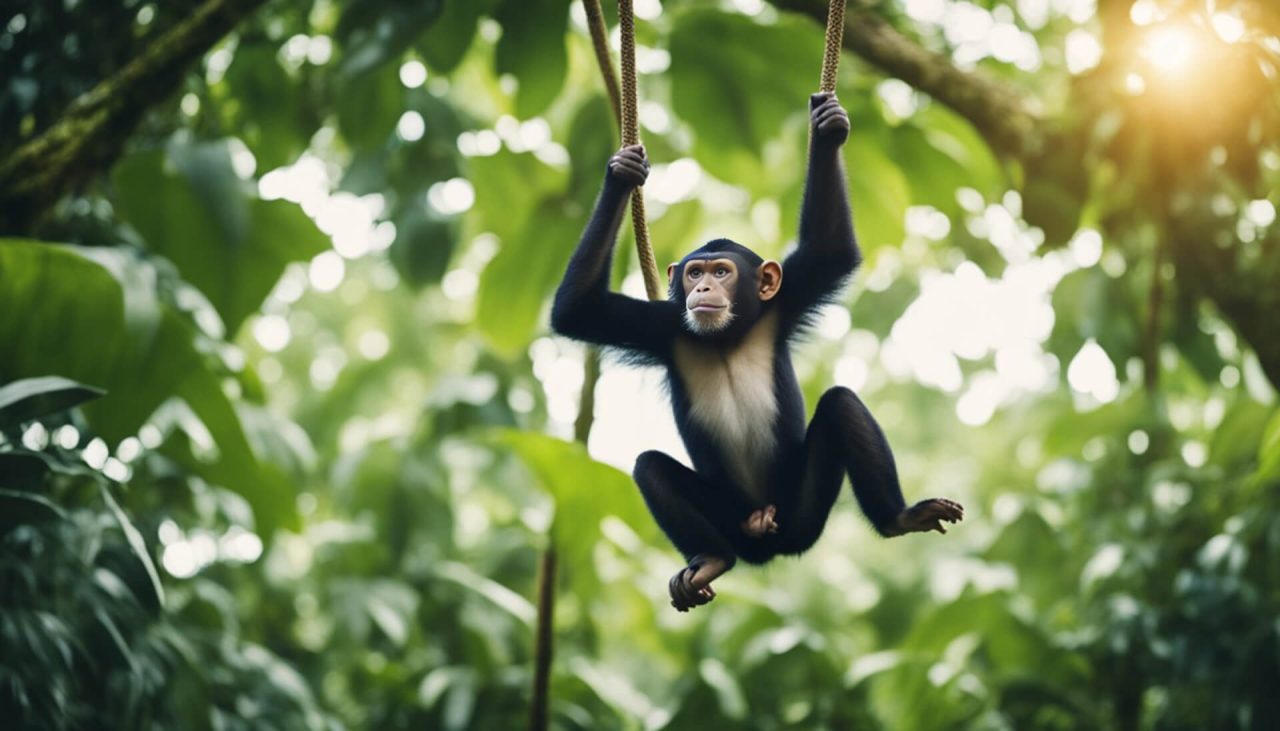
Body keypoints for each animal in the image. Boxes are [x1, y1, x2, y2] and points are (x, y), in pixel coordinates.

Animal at [550, 93, 964, 612]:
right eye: (694, 273)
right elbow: (578, 310)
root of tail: (764, 533)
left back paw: (899, 518)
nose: (703, 286)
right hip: (731, 521)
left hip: (801, 515)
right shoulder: (660, 327)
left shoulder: (786, 299)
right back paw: (710, 560)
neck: (727, 335)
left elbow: (830, 247)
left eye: (722, 272)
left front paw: (828, 128)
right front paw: (622, 173)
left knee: (842, 404)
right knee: (650, 468)